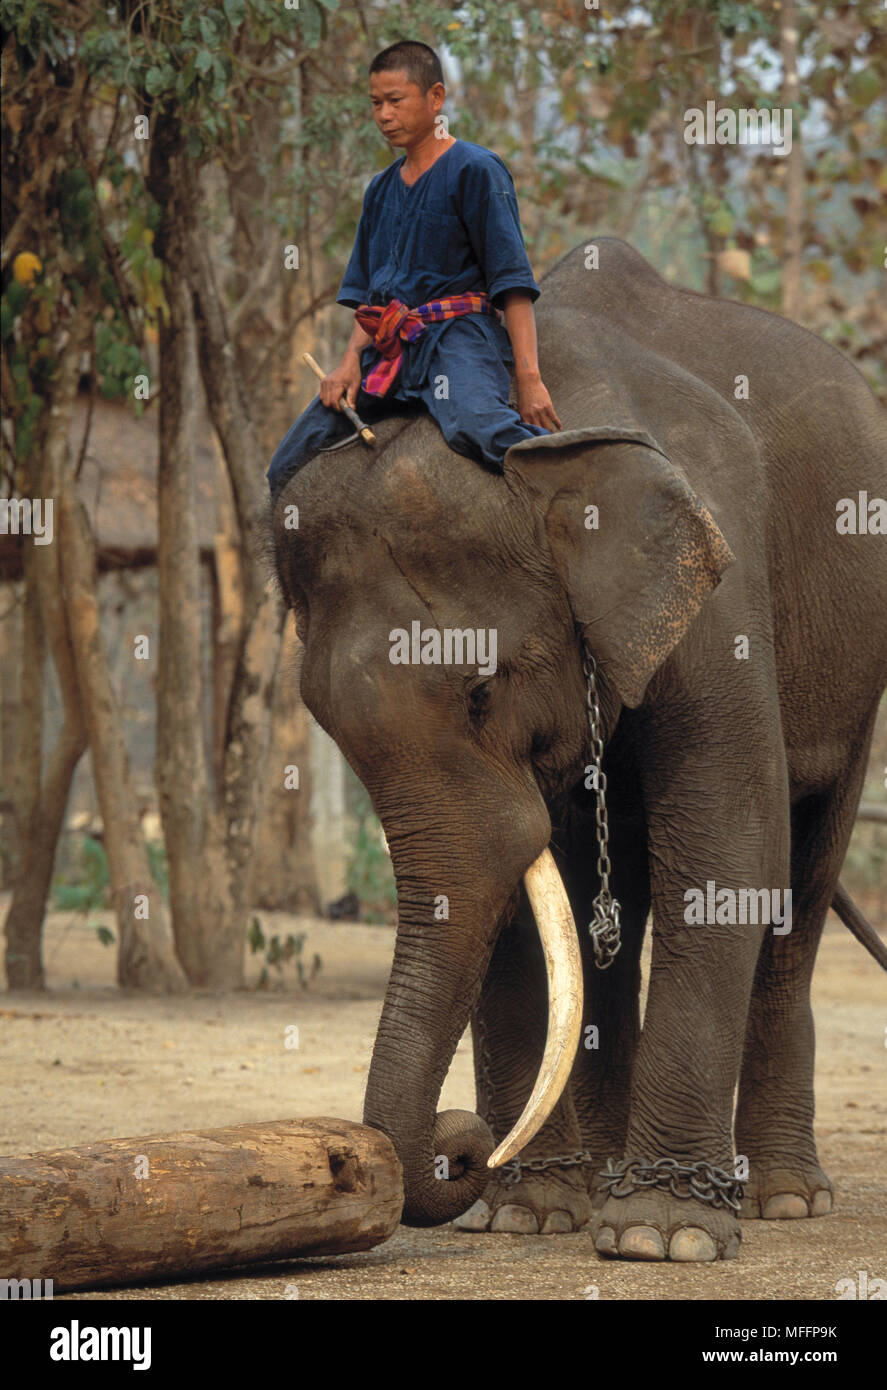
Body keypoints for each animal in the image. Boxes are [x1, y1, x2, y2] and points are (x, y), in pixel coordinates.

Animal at [270, 238, 887, 1262]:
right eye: (325, 723)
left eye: (481, 690)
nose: (461, 1148)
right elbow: (523, 874)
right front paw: (527, 1215)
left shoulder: (718, 584)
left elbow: (726, 836)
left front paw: (659, 1238)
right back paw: (600, 1181)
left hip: (855, 662)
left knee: (802, 867)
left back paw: (783, 1199)